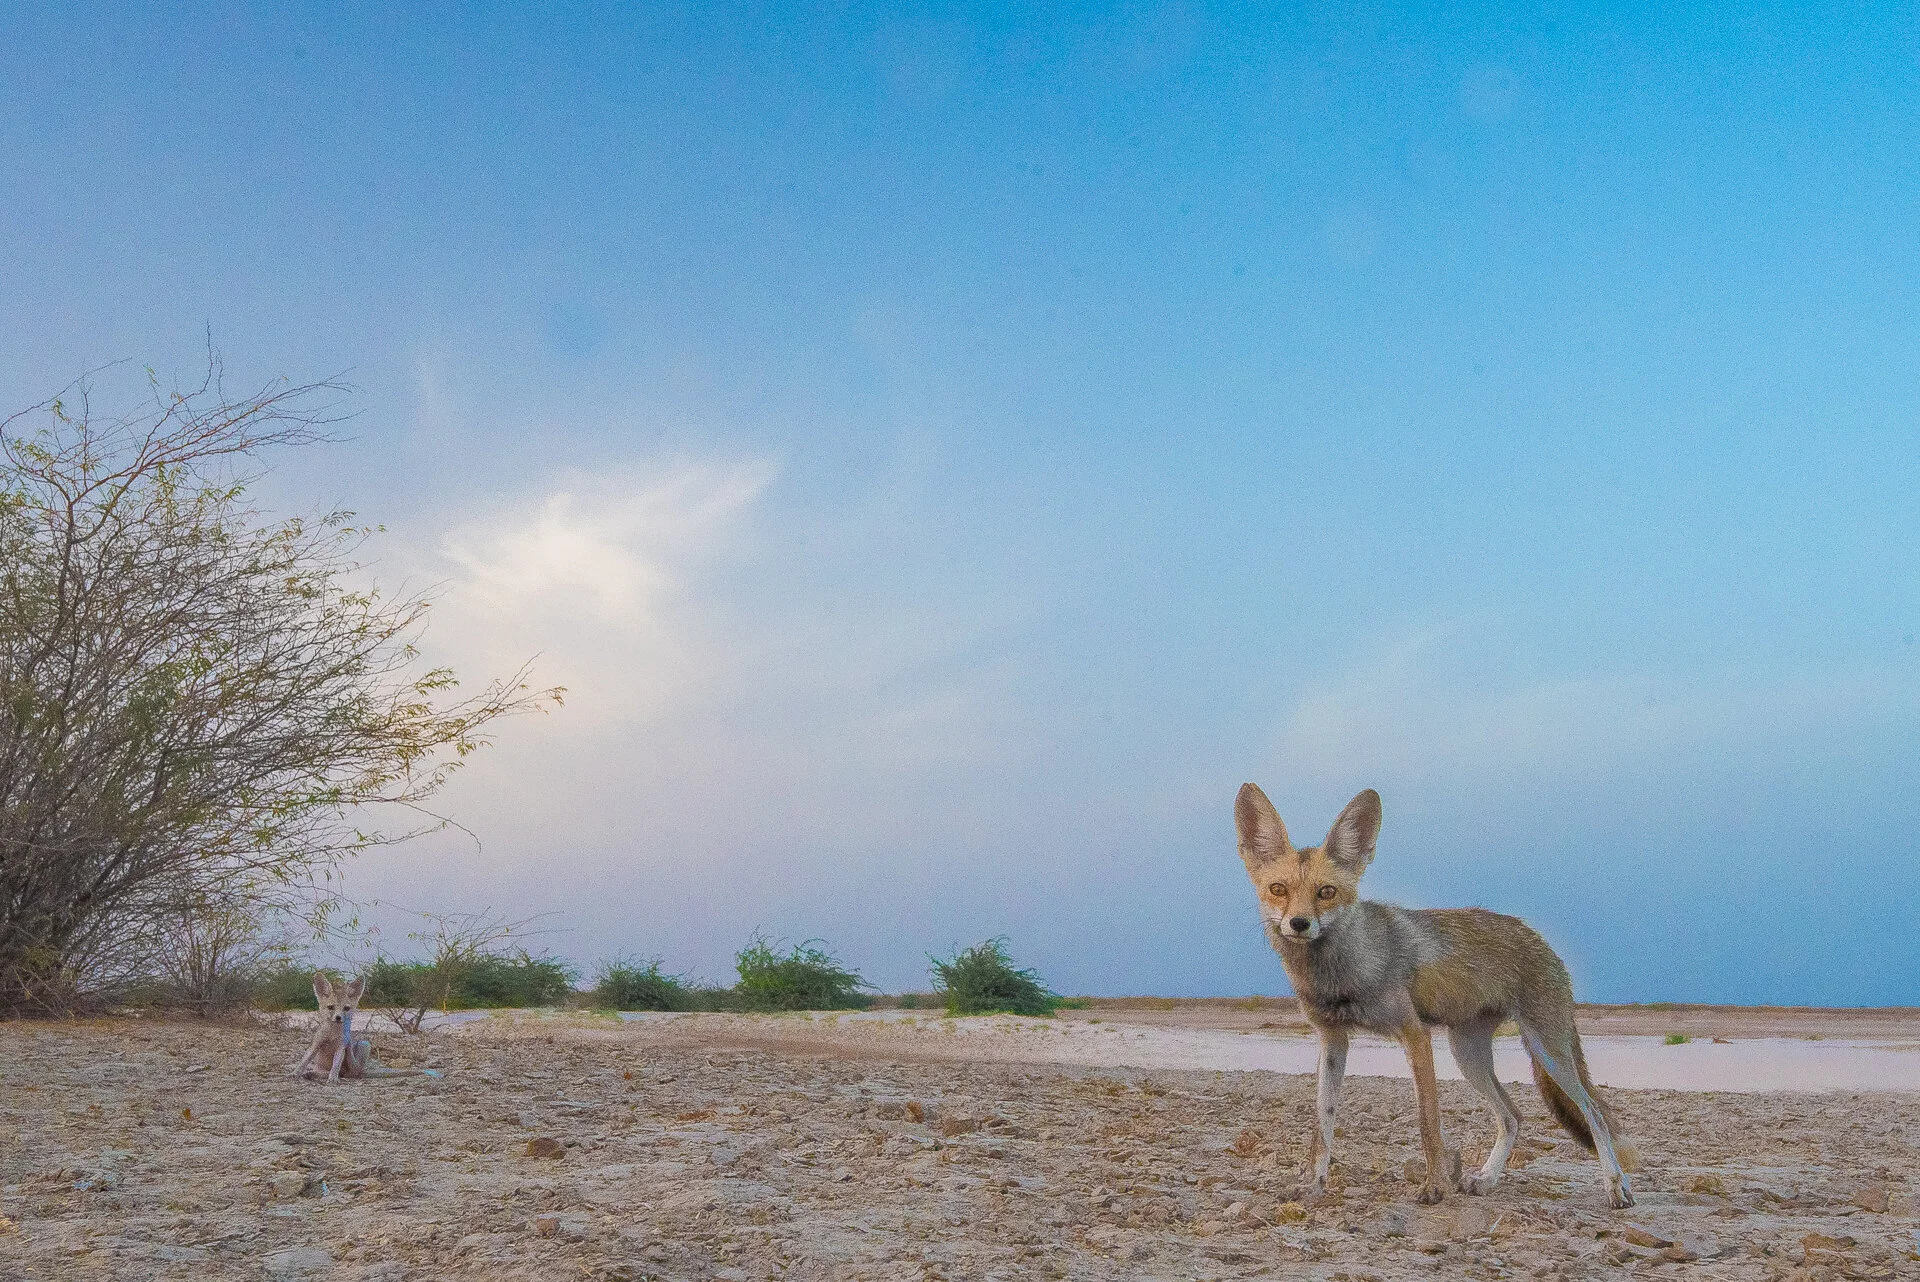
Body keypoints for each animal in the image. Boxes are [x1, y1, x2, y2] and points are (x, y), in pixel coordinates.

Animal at [294, 972, 443, 1083]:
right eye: (330, 1007)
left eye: (346, 1008)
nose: (338, 1018)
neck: (332, 1035)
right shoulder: (316, 1044)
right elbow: (304, 1061)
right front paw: (294, 1074)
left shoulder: (340, 1047)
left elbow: (335, 1065)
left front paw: (332, 1079)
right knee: (341, 1073)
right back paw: (312, 1074)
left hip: (364, 1044)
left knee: (352, 1072)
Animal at [1234, 783, 1638, 1209]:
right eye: (1278, 890)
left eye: (1326, 892)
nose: (1299, 923)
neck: (1340, 974)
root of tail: (1539, 938)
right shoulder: (1332, 1040)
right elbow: (1322, 1125)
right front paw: (1313, 1185)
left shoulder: (1415, 1034)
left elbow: (1428, 1123)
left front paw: (1436, 1187)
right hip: (1468, 1056)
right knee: (1513, 1116)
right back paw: (1487, 1179)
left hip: (1549, 1053)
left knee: (1594, 1113)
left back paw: (1616, 1186)